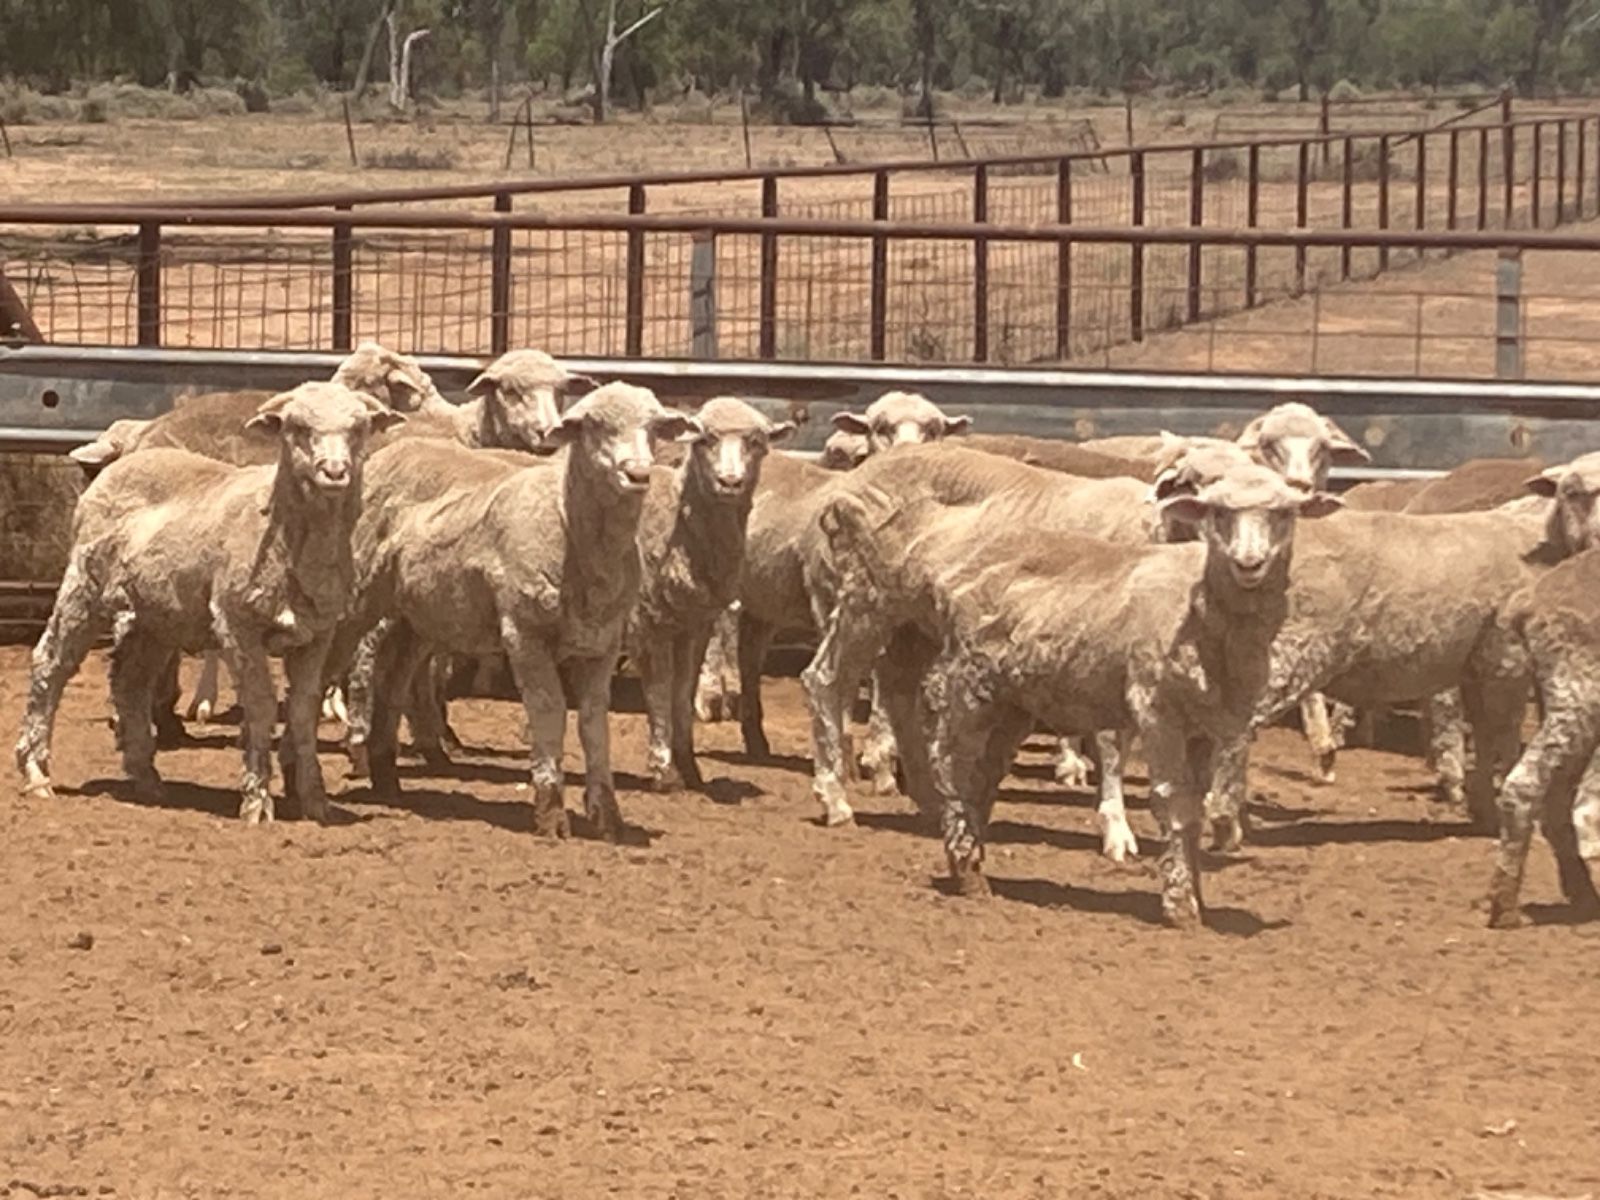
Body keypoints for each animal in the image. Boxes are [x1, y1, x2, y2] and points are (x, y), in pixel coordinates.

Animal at [15, 383, 403, 821]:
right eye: (297, 427)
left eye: (359, 427)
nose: (335, 472)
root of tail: (122, 462)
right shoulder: (238, 626)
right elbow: (261, 705)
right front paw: (257, 799)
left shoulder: (316, 635)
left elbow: (304, 712)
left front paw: (315, 801)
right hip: (83, 586)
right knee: (51, 664)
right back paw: (37, 772)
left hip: (154, 617)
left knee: (130, 681)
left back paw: (146, 778)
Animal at [347, 383, 691, 839]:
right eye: (595, 426)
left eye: (653, 427)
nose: (637, 475)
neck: (574, 533)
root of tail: (390, 453)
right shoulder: (525, 634)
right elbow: (549, 711)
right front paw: (551, 812)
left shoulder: (601, 642)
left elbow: (593, 725)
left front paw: (607, 817)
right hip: (363, 597)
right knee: (356, 669)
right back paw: (346, 761)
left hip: (418, 617)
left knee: (394, 682)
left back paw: (387, 777)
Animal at [627, 397, 794, 791]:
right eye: (704, 440)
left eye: (756, 441)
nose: (729, 482)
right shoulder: (649, 617)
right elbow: (660, 688)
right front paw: (664, 770)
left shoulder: (695, 623)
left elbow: (683, 689)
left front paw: (689, 767)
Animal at [821, 463, 1340, 927]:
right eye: (1217, 511)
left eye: (1285, 513)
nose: (1249, 563)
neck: (1199, 613)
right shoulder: (1157, 710)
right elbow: (1173, 804)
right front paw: (1180, 906)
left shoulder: (1208, 726)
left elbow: (1194, 809)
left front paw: (1195, 890)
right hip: (967, 680)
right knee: (949, 760)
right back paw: (960, 863)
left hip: (1011, 698)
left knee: (980, 772)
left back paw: (970, 860)